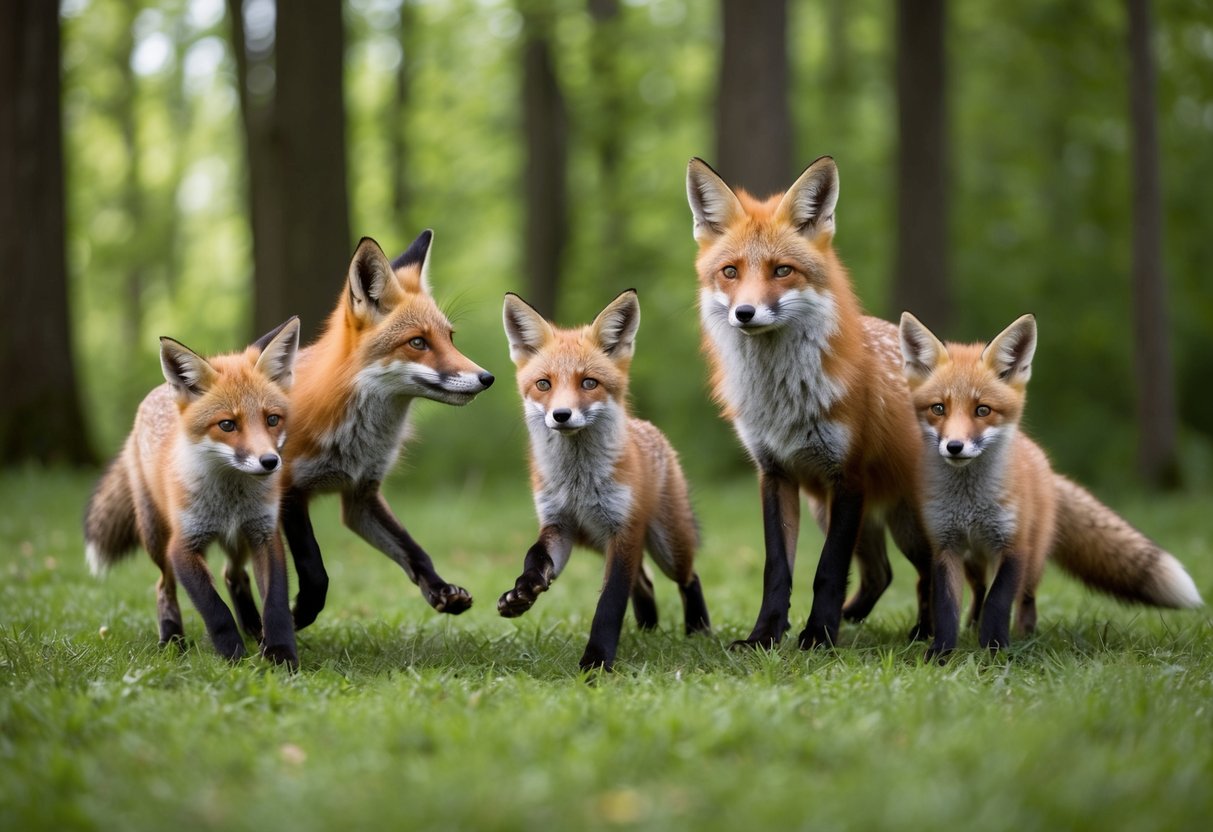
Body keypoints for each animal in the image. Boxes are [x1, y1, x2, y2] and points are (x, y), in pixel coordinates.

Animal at [84, 317, 302, 667]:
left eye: (272, 419)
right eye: (227, 425)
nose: (270, 462)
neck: (230, 499)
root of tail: (157, 393)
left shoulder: (265, 535)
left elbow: (276, 603)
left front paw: (280, 653)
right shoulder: (182, 545)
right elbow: (215, 609)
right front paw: (232, 657)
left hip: (237, 540)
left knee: (232, 575)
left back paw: (254, 628)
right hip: (156, 539)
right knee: (163, 586)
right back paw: (172, 639)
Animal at [279, 231, 495, 628]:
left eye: (450, 338)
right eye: (418, 342)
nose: (487, 378)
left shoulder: (362, 495)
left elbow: (413, 550)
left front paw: (441, 591)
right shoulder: (288, 489)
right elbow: (315, 569)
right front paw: (301, 612)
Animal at [497, 290, 711, 671]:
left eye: (589, 383)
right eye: (543, 384)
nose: (561, 415)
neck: (578, 483)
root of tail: (650, 429)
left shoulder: (623, 530)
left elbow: (609, 604)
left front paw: (596, 662)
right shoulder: (560, 525)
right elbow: (534, 557)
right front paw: (522, 592)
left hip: (667, 544)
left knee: (689, 577)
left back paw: (697, 630)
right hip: (597, 541)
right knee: (645, 582)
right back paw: (648, 630)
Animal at [686, 156, 933, 649]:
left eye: (782, 271)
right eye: (730, 272)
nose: (745, 313)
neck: (783, 399)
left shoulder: (849, 478)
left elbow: (827, 571)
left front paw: (818, 636)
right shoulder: (775, 474)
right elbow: (777, 569)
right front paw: (765, 635)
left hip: (909, 523)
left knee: (940, 570)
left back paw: (931, 631)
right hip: (844, 514)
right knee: (882, 574)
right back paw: (863, 620)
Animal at [899, 311, 1203, 658]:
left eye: (982, 410)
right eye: (939, 408)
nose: (954, 447)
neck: (969, 502)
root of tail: (1042, 462)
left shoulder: (1014, 545)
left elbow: (998, 602)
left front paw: (996, 652)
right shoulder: (945, 545)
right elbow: (947, 606)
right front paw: (941, 655)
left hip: (1031, 559)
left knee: (1024, 598)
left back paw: (1024, 635)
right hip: (973, 559)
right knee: (979, 591)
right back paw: (972, 628)